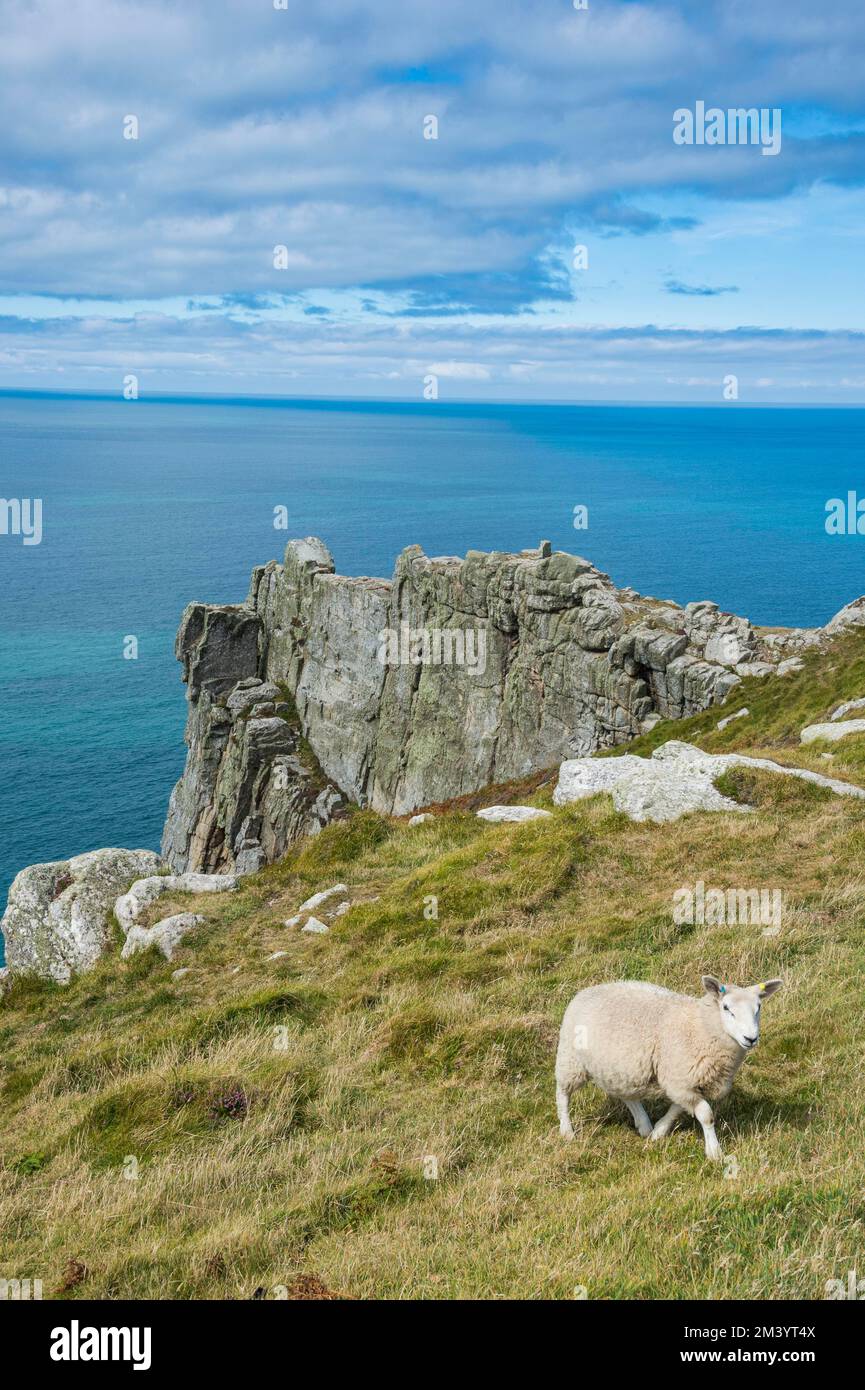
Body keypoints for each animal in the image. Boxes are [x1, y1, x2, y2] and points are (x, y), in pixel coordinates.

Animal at [555, 975, 783, 1160]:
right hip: (571, 1059)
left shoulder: (686, 1081)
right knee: (562, 1093)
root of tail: (584, 992)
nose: (750, 1038)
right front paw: (714, 1152)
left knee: (626, 1095)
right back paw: (567, 1131)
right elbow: (706, 1115)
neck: (700, 1027)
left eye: (759, 1007)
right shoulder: (679, 1079)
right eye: (726, 1008)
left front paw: (659, 1132)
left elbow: (677, 1108)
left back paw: (644, 1125)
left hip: (619, 1068)